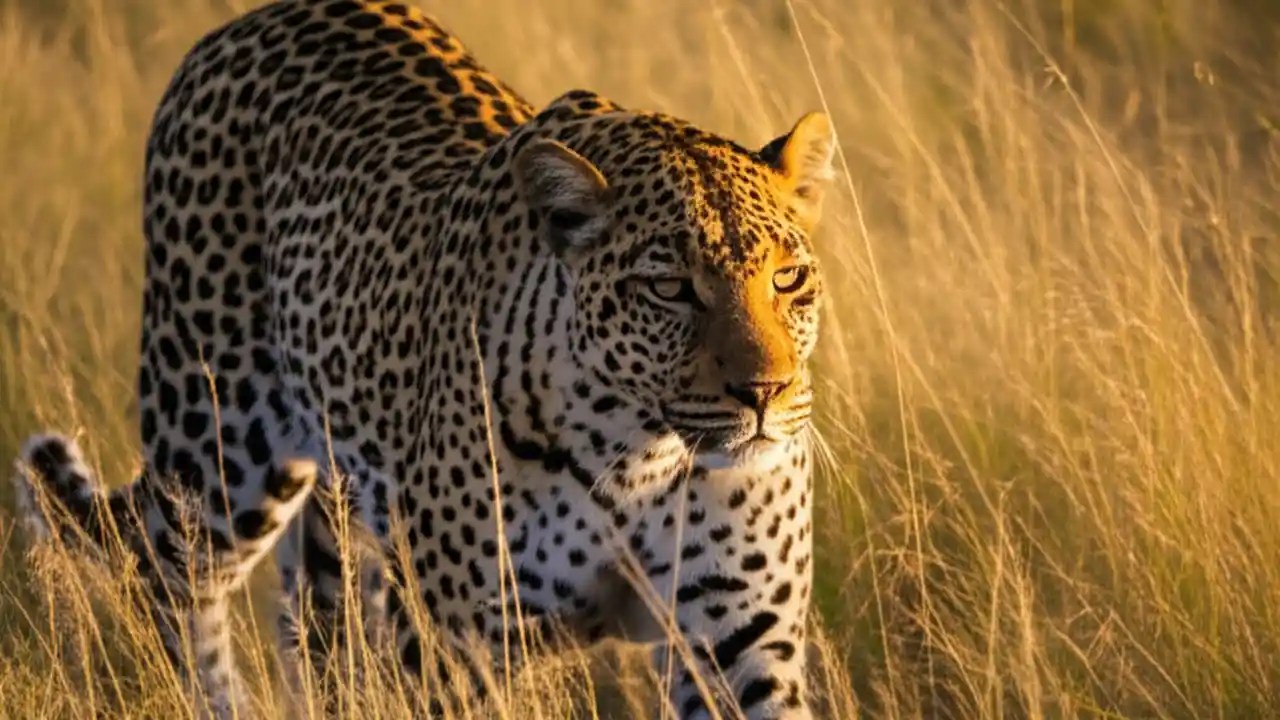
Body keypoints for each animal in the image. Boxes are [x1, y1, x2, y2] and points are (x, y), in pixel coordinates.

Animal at [12, 1, 834, 718]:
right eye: (669, 289)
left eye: (788, 278)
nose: (765, 392)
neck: (641, 458)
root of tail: (249, 21)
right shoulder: (454, 652)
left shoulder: (739, 645)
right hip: (215, 446)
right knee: (167, 577)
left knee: (320, 635)